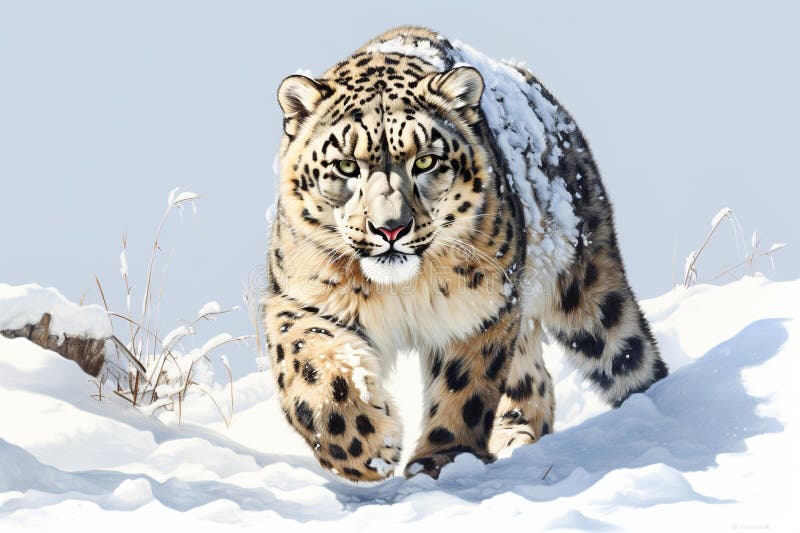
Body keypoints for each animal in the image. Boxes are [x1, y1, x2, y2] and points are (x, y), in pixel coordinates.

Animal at [263, 26, 668, 482]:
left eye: (425, 161)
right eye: (346, 166)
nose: (391, 228)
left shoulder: (480, 308)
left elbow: (464, 386)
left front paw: (440, 460)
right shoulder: (304, 298)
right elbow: (312, 371)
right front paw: (367, 450)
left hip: (589, 291)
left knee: (627, 356)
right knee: (535, 379)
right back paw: (516, 437)